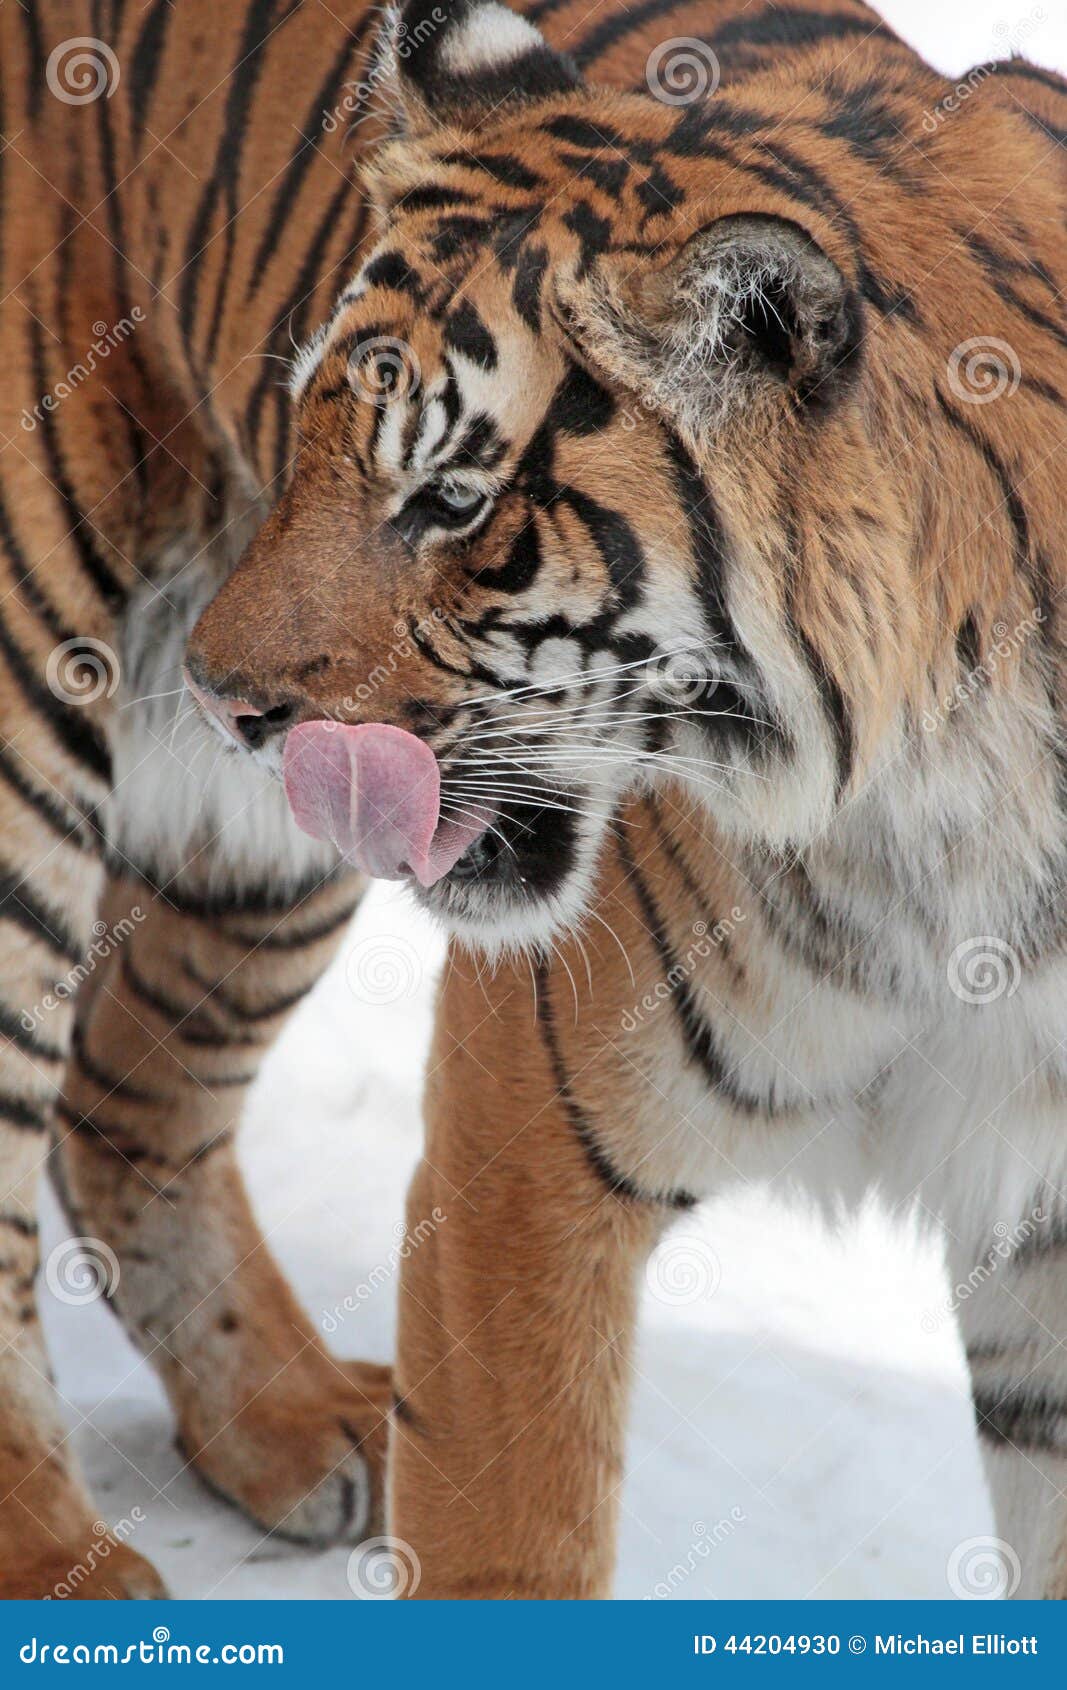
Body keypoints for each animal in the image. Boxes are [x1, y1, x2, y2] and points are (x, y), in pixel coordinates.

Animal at [1, 0, 1064, 1603]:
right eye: (308, 443)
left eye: (451, 501)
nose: (221, 698)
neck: (948, 809)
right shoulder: (524, 1157)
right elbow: (515, 1533)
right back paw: (61, 1552)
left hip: (264, 869)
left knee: (127, 1100)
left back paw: (291, 1423)